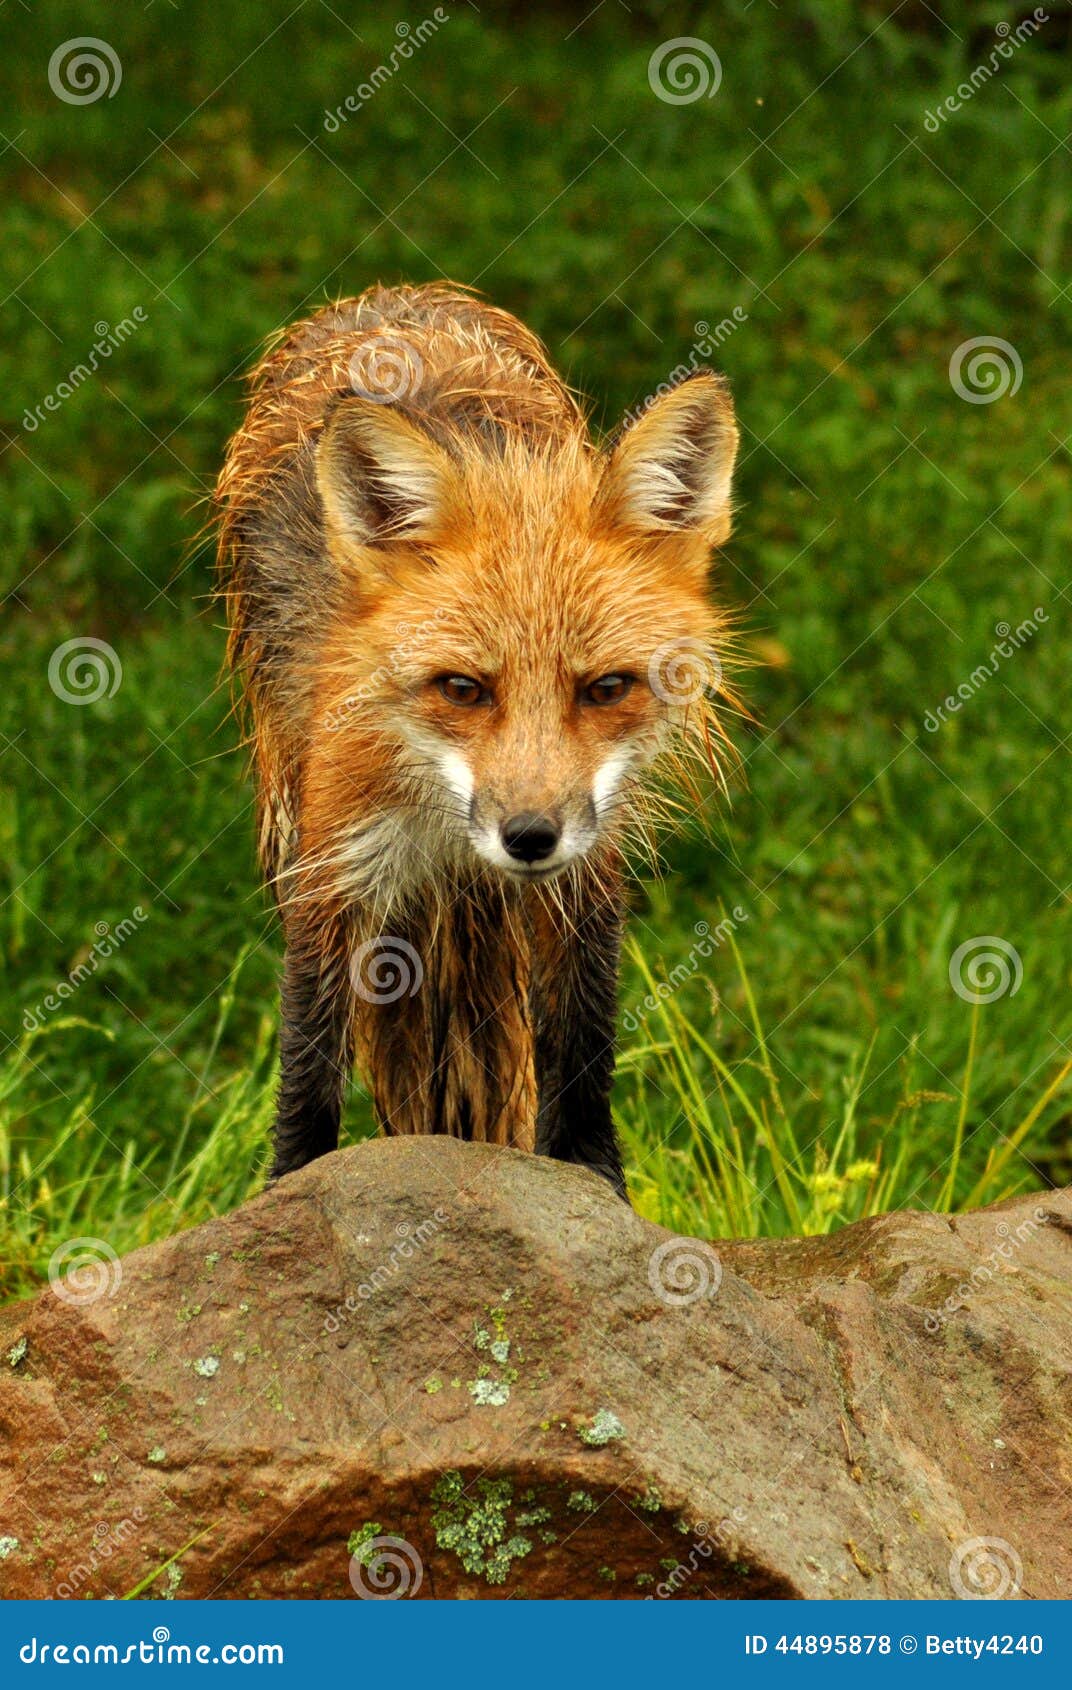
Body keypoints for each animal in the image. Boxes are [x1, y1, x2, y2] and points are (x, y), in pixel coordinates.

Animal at [213, 282, 739, 1199]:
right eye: (463, 688)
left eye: (606, 689)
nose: (529, 837)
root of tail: (388, 296)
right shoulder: (333, 864)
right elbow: (309, 1058)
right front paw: (290, 1187)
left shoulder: (587, 871)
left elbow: (583, 1040)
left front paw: (594, 1179)